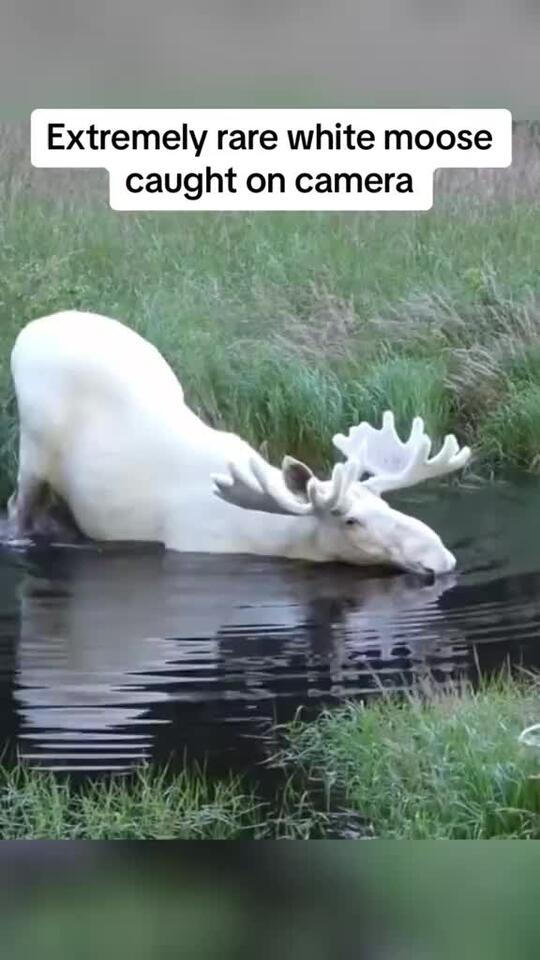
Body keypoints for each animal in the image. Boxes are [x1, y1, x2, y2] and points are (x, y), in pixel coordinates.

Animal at [8, 311, 471, 577]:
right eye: (350, 521)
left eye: (386, 504)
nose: (439, 558)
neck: (278, 537)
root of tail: (30, 329)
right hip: (32, 451)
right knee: (17, 508)